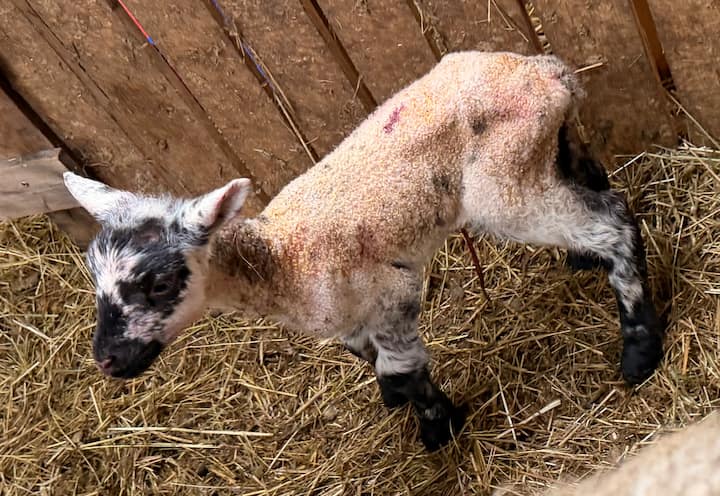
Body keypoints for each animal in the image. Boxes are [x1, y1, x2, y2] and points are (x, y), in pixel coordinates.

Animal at [63, 51, 664, 451]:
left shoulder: (391, 290)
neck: (283, 260)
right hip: (541, 149)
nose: (107, 361)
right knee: (593, 180)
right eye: (94, 280)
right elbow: (377, 361)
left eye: (159, 284)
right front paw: (423, 410)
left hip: (503, 184)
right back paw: (585, 261)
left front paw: (434, 425)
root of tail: (549, 72)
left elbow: (400, 369)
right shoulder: (348, 319)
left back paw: (640, 350)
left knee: (612, 223)